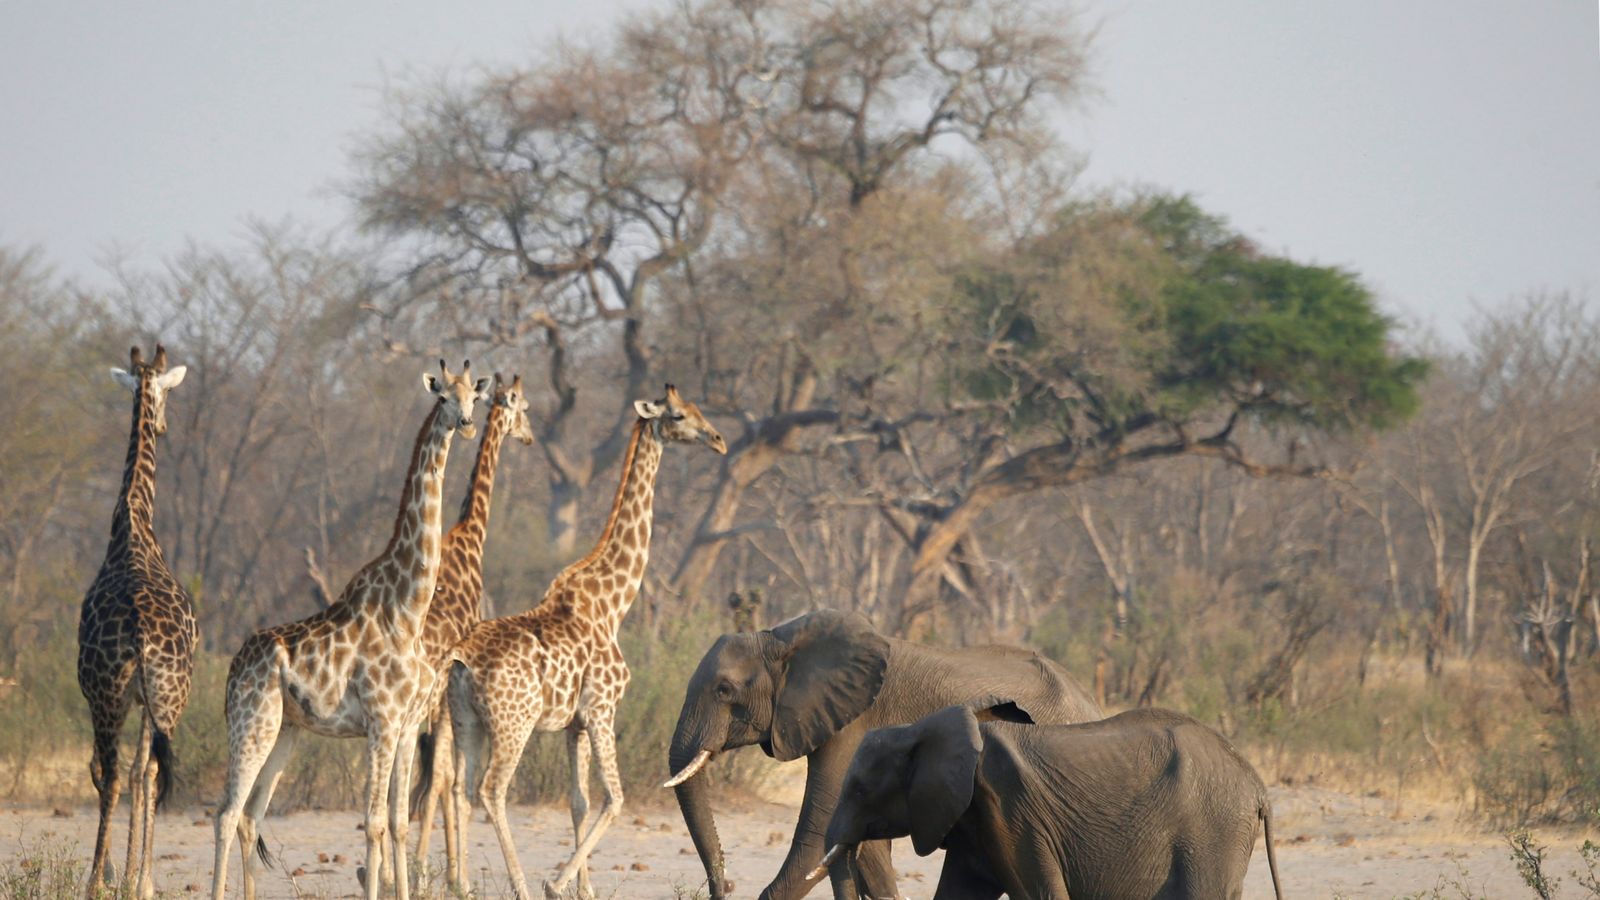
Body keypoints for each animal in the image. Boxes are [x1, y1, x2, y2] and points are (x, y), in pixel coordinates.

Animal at [664, 608, 1101, 900]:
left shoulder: (853, 722)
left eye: (724, 690)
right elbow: (861, 842)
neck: (781, 640)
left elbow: (818, 830)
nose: (723, 887)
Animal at [819, 705, 1285, 900]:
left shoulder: (1011, 810)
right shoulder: (975, 819)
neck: (921, 727)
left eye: (859, 789)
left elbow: (1039, 892)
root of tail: (1259, 788)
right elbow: (960, 892)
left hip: (1212, 832)